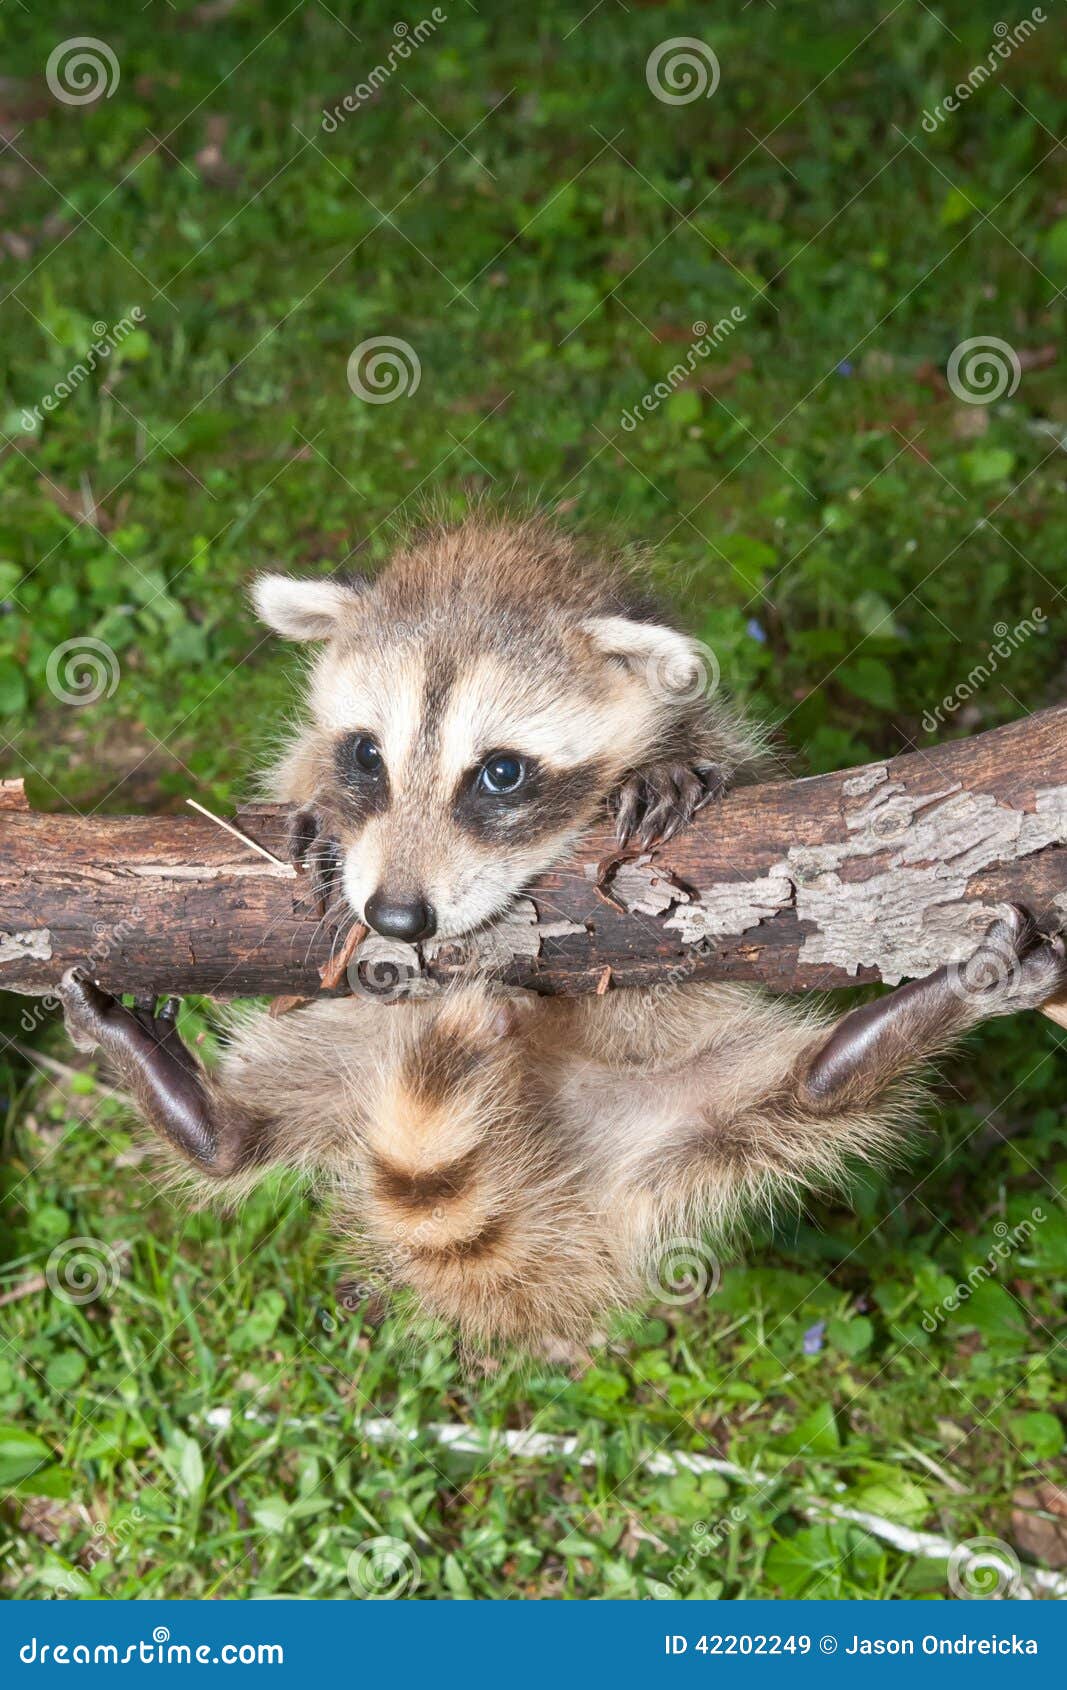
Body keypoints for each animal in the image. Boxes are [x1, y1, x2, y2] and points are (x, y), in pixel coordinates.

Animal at [59, 516, 1067, 1354]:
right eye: (366, 754)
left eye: (500, 773)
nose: (395, 919)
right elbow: (294, 773)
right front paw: (314, 813)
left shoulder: (718, 731)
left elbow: (733, 769)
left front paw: (669, 768)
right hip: (349, 1066)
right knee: (258, 1131)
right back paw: (195, 1109)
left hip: (678, 1117)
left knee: (795, 1108)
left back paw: (887, 1035)